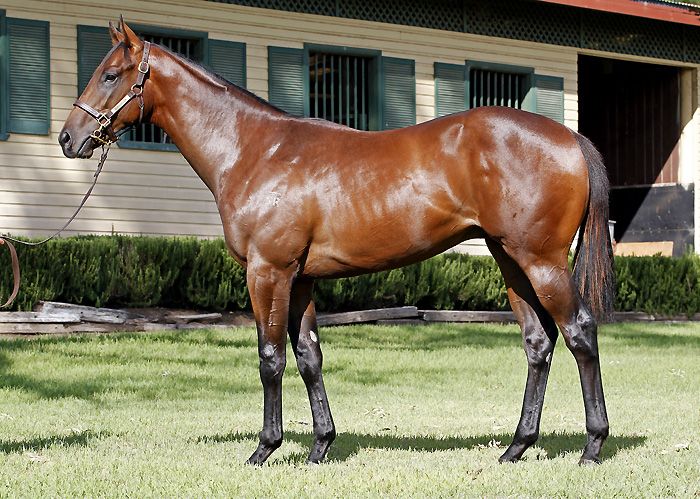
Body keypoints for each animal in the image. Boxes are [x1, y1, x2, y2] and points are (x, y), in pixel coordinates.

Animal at [59, 18, 613, 466]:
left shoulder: (268, 272)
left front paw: (265, 448)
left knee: (580, 333)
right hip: (510, 260)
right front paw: (320, 446)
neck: (255, 150)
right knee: (538, 343)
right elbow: (308, 356)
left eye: (110, 75)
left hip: (541, 261)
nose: (69, 137)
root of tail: (570, 138)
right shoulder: (301, 279)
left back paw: (592, 446)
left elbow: (270, 357)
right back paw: (516, 447)